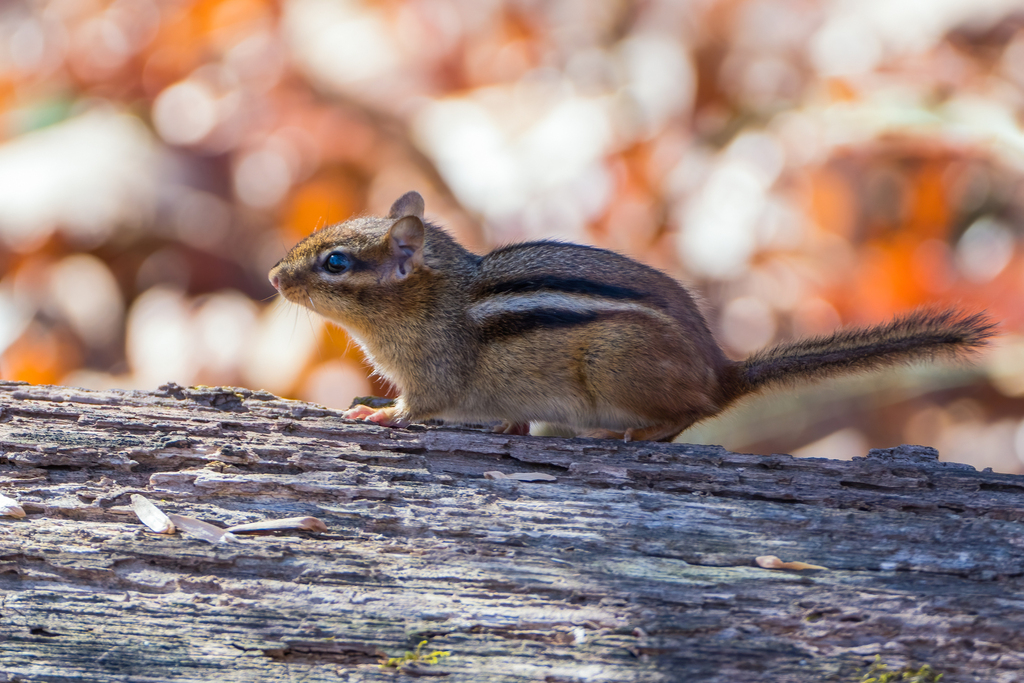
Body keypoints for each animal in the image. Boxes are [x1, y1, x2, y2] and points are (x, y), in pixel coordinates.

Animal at [268, 191, 996, 442]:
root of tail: (723, 370)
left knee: (691, 413)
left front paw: (378, 414)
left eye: (335, 263)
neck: (433, 299)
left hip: (615, 366)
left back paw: (640, 432)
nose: (273, 277)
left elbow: (419, 406)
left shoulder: (435, 374)